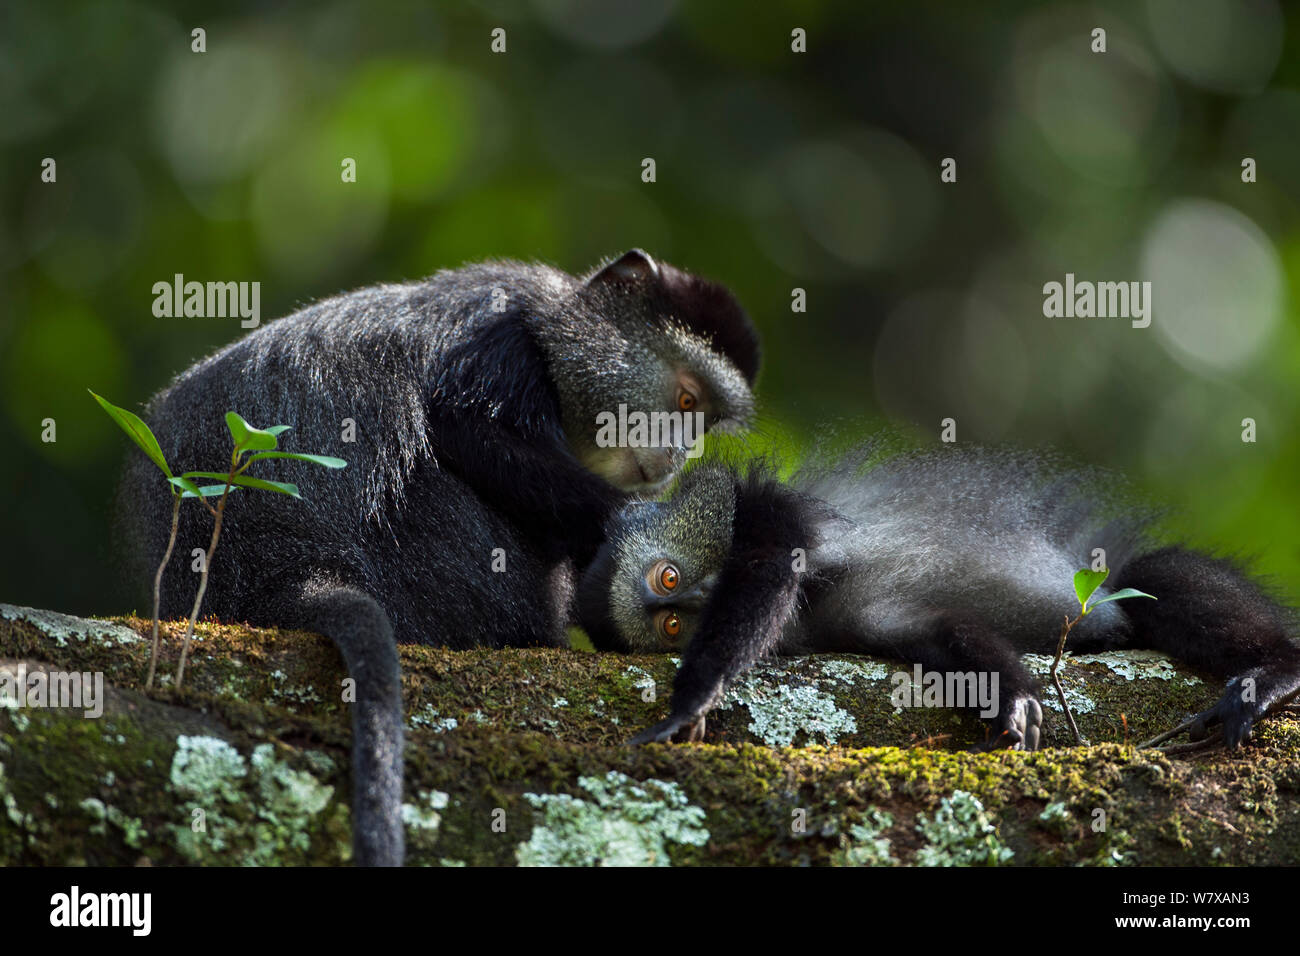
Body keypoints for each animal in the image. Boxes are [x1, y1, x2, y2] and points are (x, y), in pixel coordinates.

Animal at [117, 250, 760, 865]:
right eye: (685, 399)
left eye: (701, 419)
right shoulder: (501, 337)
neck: (553, 328)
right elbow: (467, 427)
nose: (678, 455)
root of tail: (282, 571)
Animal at [577, 440, 1300, 750]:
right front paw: (1012, 699)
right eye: (672, 624)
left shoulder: (758, 510)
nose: (704, 591)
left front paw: (693, 698)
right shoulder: (873, 622)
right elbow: (945, 630)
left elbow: (769, 564)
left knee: (1154, 574)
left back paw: (1271, 673)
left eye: (669, 580)